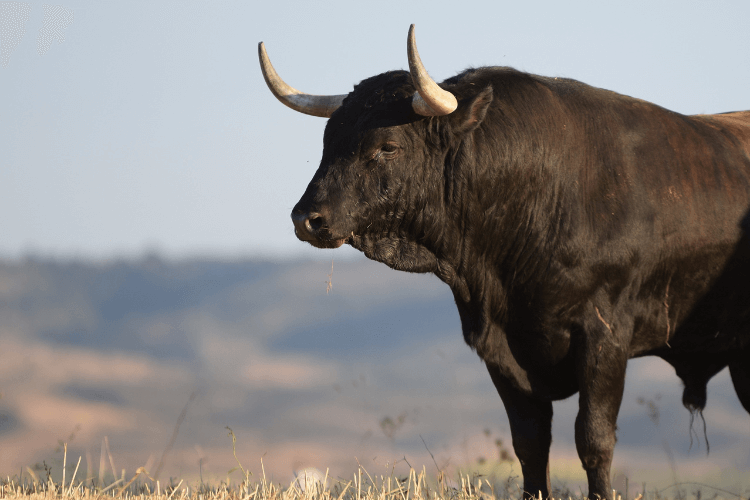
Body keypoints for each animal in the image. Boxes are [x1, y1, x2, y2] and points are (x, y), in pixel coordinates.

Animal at [258, 25, 750, 500]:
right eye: (328, 140)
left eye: (388, 145)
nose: (307, 218)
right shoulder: (500, 348)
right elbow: (530, 443)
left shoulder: (606, 336)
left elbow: (594, 440)